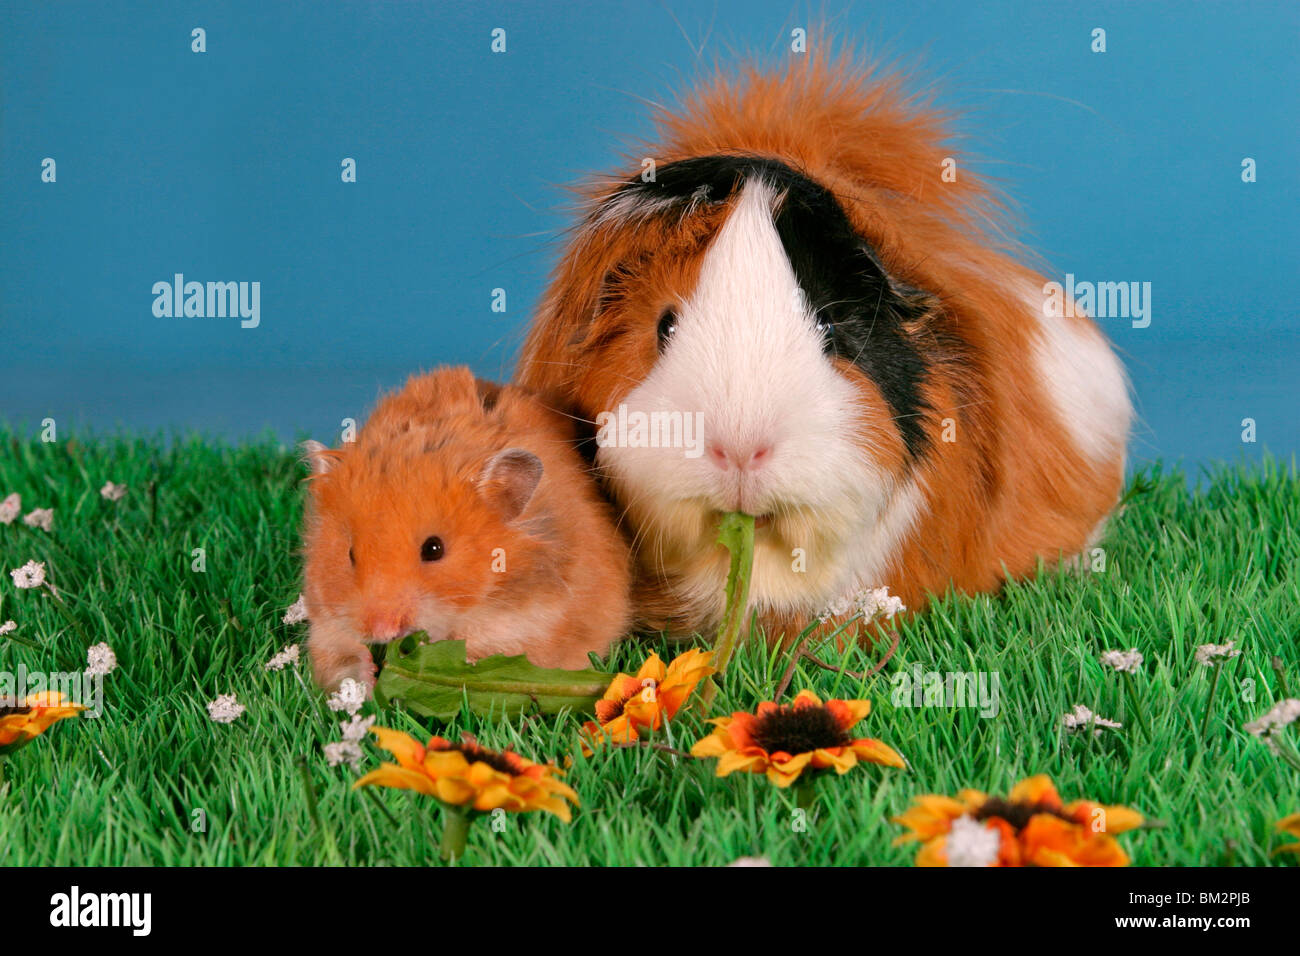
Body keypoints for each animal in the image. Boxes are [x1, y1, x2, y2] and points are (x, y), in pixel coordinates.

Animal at [299, 366, 632, 692]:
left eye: (434, 549)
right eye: (350, 554)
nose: (383, 631)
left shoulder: (536, 623)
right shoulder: (326, 621)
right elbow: (340, 657)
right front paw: (366, 679)